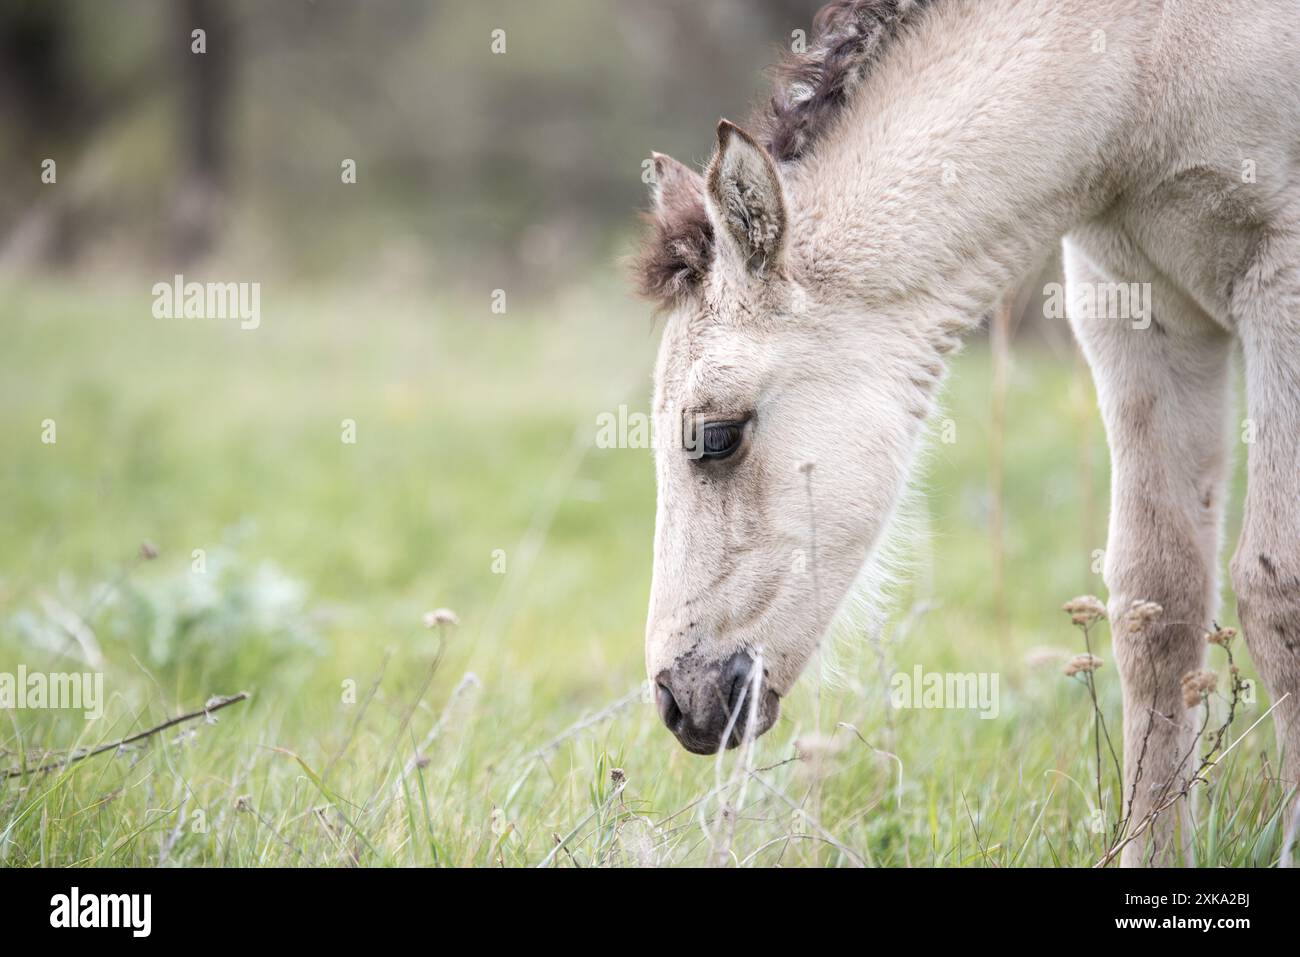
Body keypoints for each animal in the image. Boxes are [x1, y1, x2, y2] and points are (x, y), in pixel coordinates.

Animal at [632, 0, 1300, 866]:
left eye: (716, 435)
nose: (681, 699)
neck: (1148, 59)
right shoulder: (1132, 299)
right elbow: (1159, 596)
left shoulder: (1285, 277)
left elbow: (1277, 585)